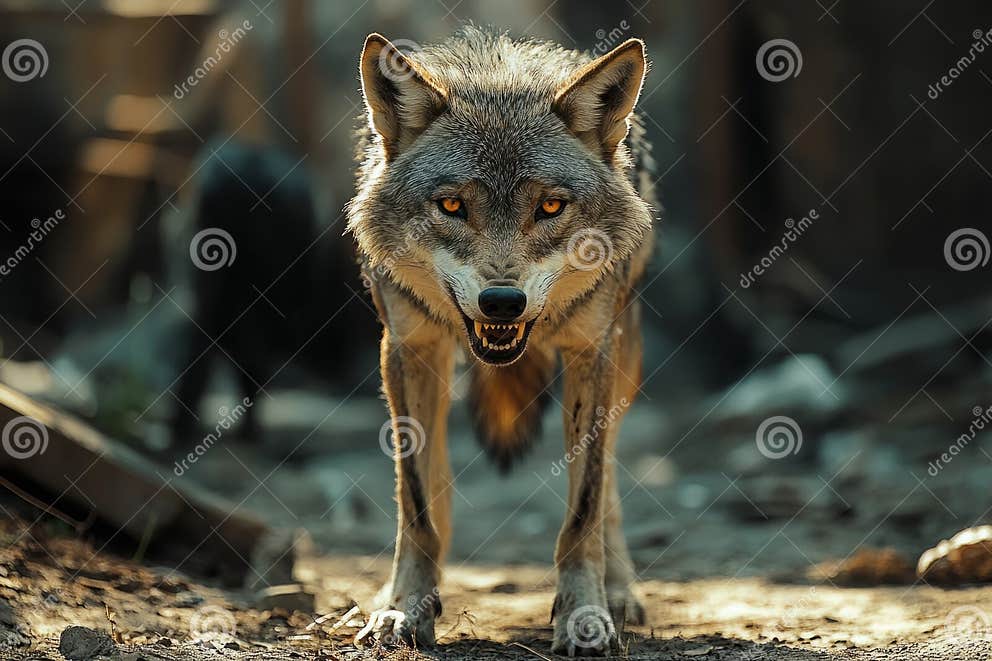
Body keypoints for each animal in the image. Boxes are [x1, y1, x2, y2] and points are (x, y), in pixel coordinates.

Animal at [347, 27, 656, 656]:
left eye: (551, 206)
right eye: (451, 205)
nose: (502, 303)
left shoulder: (593, 351)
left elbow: (583, 509)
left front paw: (584, 613)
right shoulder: (406, 350)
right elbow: (417, 504)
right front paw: (403, 608)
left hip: (625, 360)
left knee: (610, 478)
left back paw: (619, 591)